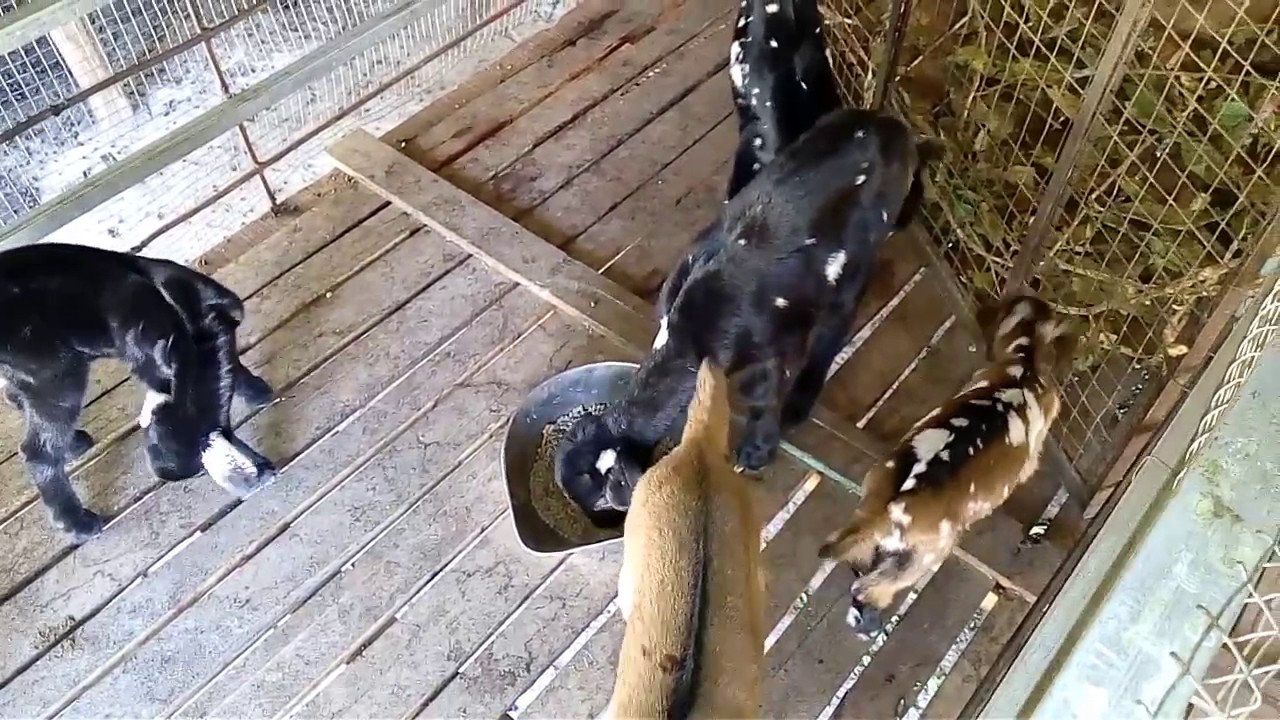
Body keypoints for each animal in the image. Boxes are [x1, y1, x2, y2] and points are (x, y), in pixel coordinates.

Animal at [555, 107, 938, 518]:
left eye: (601, 499)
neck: (689, 335)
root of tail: (895, 128)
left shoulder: (774, 341)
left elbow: (765, 393)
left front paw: (756, 452)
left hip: (857, 258)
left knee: (836, 322)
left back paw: (800, 403)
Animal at [817, 293, 1077, 638]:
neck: (1024, 365)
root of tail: (885, 509)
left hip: (869, 505)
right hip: (929, 550)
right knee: (871, 587)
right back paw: (869, 626)